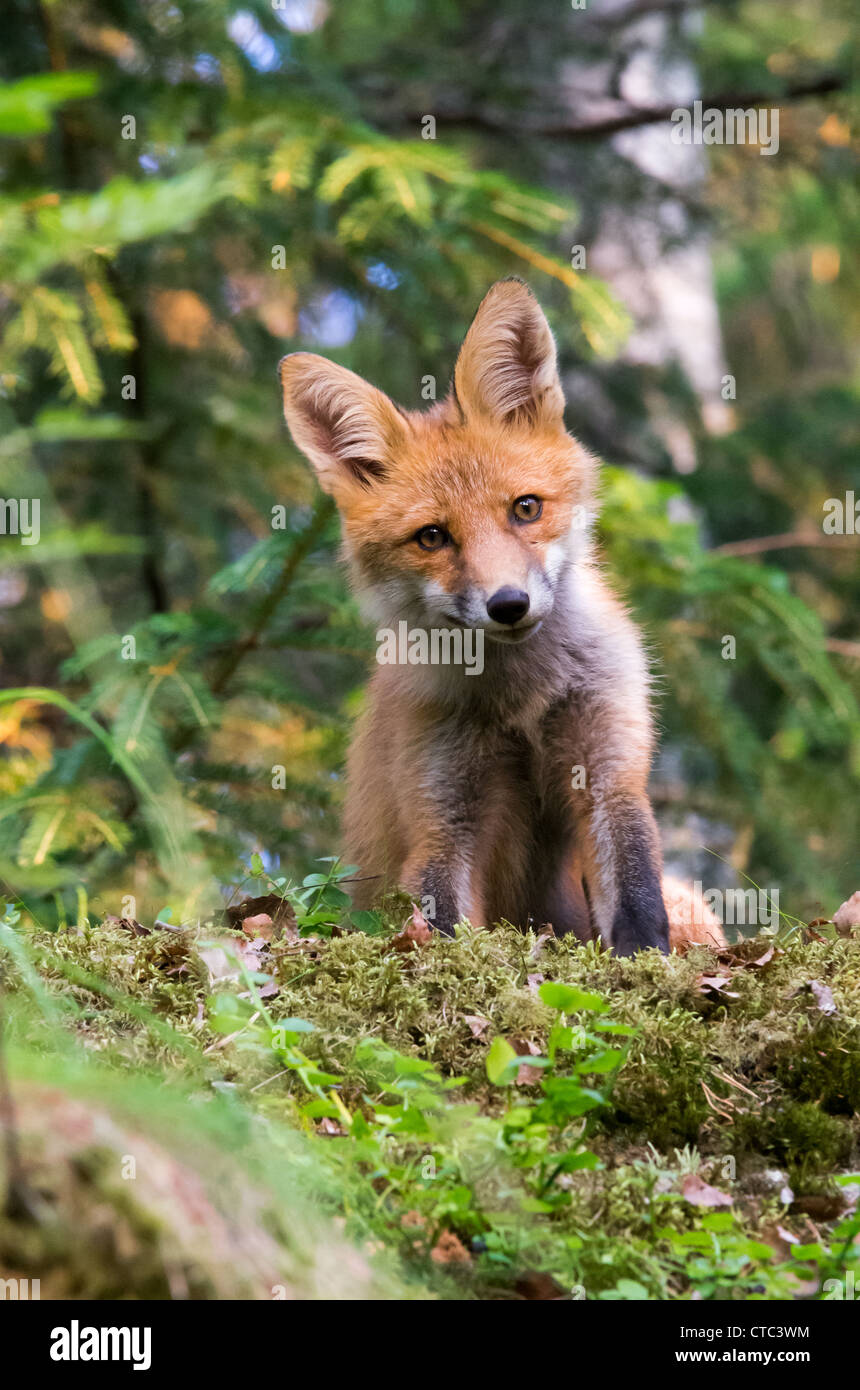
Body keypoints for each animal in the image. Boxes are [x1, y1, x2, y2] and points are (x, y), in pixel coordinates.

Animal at [280, 278, 725, 955]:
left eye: (525, 508)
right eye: (432, 537)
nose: (509, 604)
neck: (524, 699)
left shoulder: (609, 770)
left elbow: (636, 895)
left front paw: (642, 964)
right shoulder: (443, 813)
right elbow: (440, 922)